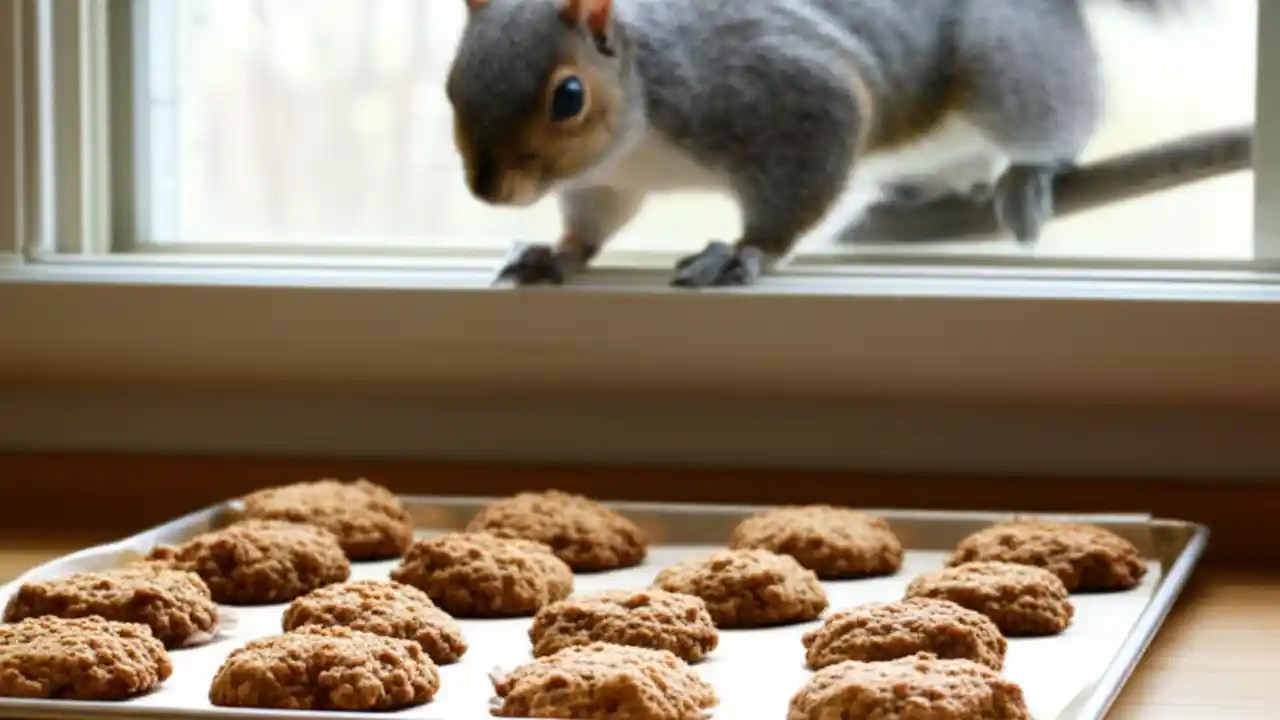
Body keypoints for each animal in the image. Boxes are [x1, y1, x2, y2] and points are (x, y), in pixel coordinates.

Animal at [446, 0, 1252, 288]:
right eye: (453, 83)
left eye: (568, 96)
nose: (488, 190)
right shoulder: (604, 180)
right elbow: (592, 222)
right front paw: (554, 251)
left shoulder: (768, 93)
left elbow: (811, 156)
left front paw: (744, 251)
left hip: (1008, 69)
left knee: (1055, 119)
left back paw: (1028, 175)